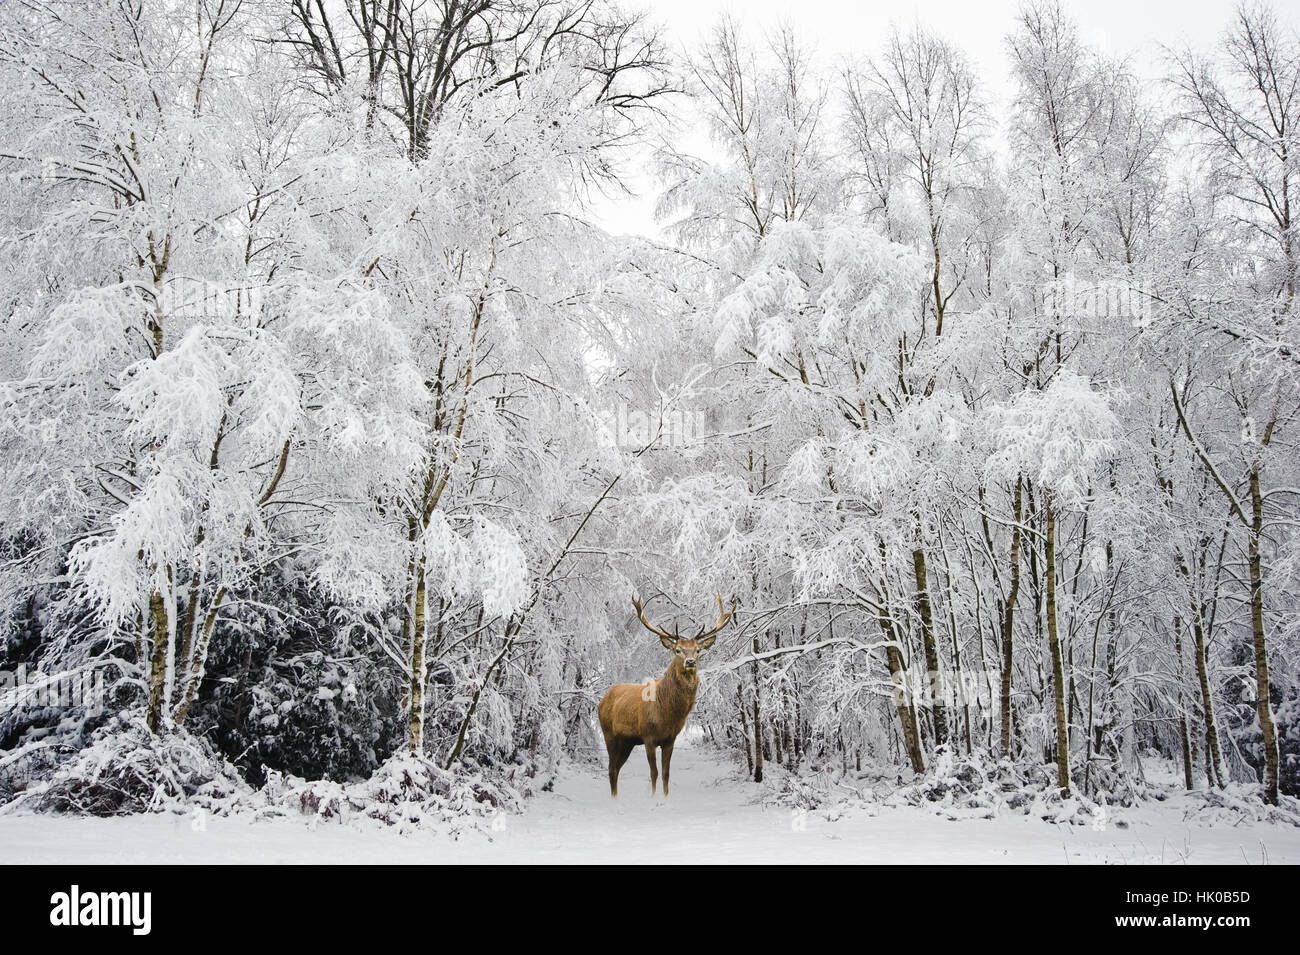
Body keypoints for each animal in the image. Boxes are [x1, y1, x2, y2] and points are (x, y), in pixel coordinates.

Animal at [598, 593, 736, 798]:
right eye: (677, 650)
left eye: (698, 650)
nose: (690, 662)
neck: (667, 713)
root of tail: (602, 699)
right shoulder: (648, 736)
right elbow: (654, 773)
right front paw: (653, 797)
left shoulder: (670, 739)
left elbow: (666, 773)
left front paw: (665, 796)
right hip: (609, 733)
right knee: (611, 768)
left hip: (627, 741)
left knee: (616, 768)